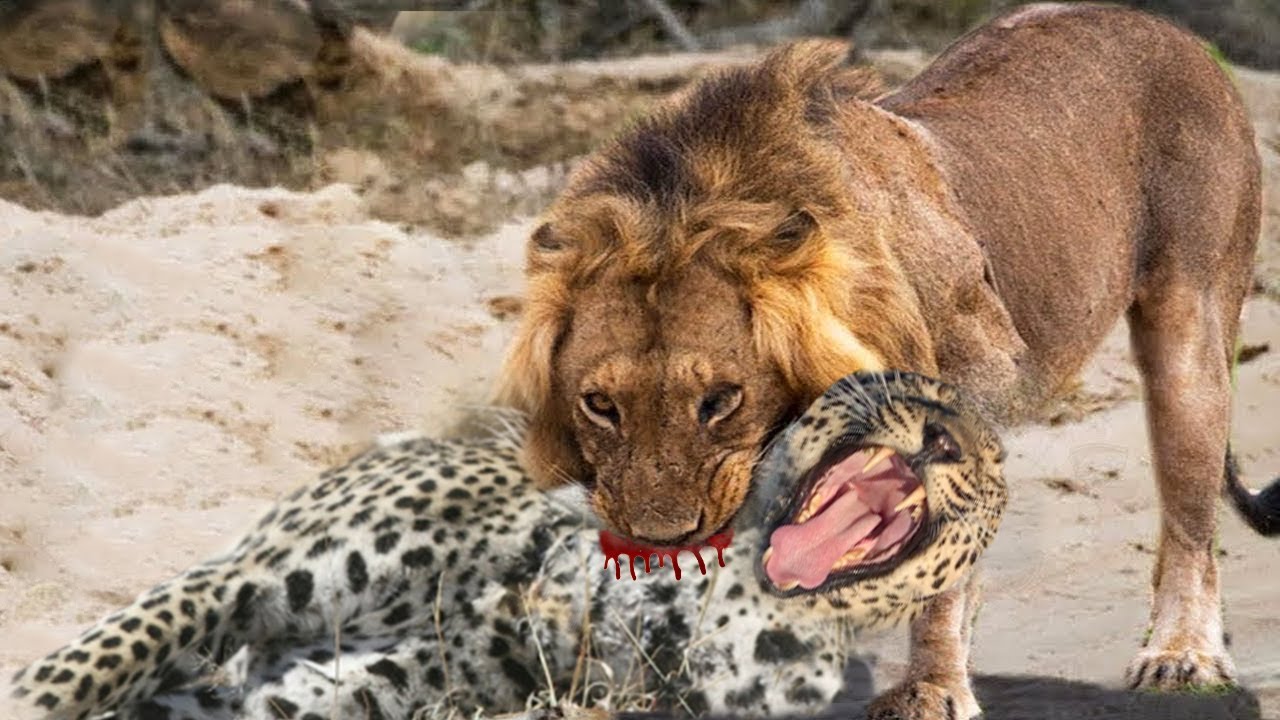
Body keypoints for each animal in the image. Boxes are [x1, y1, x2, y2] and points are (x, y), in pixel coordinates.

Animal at [495, 5, 1280, 718]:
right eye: (600, 405)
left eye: (720, 400)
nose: (658, 536)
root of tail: (1170, 30)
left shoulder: (971, 381)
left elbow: (938, 569)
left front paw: (930, 691)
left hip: (1191, 332)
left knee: (1191, 520)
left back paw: (1182, 655)